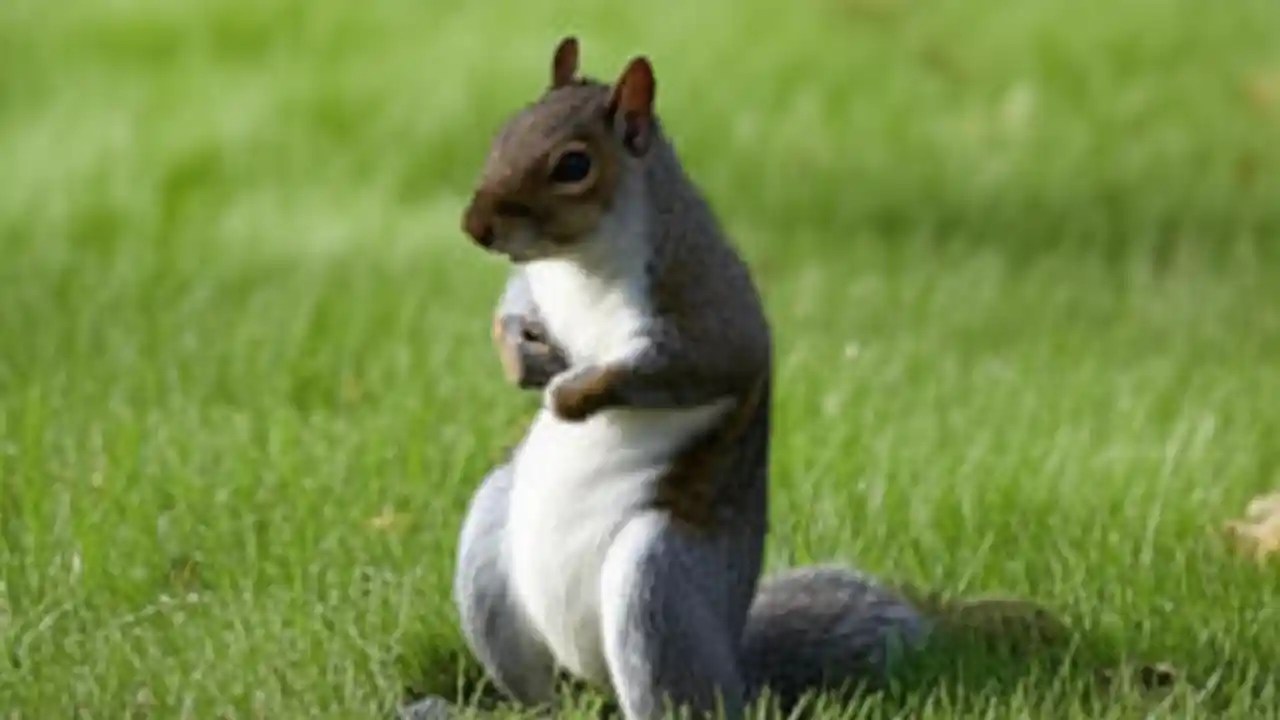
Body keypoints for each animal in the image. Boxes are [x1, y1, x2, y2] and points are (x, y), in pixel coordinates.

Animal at [405, 38, 1068, 720]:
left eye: (573, 165)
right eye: (503, 131)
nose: (475, 226)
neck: (578, 260)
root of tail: (736, 670)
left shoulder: (709, 306)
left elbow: (692, 366)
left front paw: (572, 394)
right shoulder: (537, 286)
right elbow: (515, 305)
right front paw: (519, 356)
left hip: (657, 581)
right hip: (493, 552)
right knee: (541, 691)